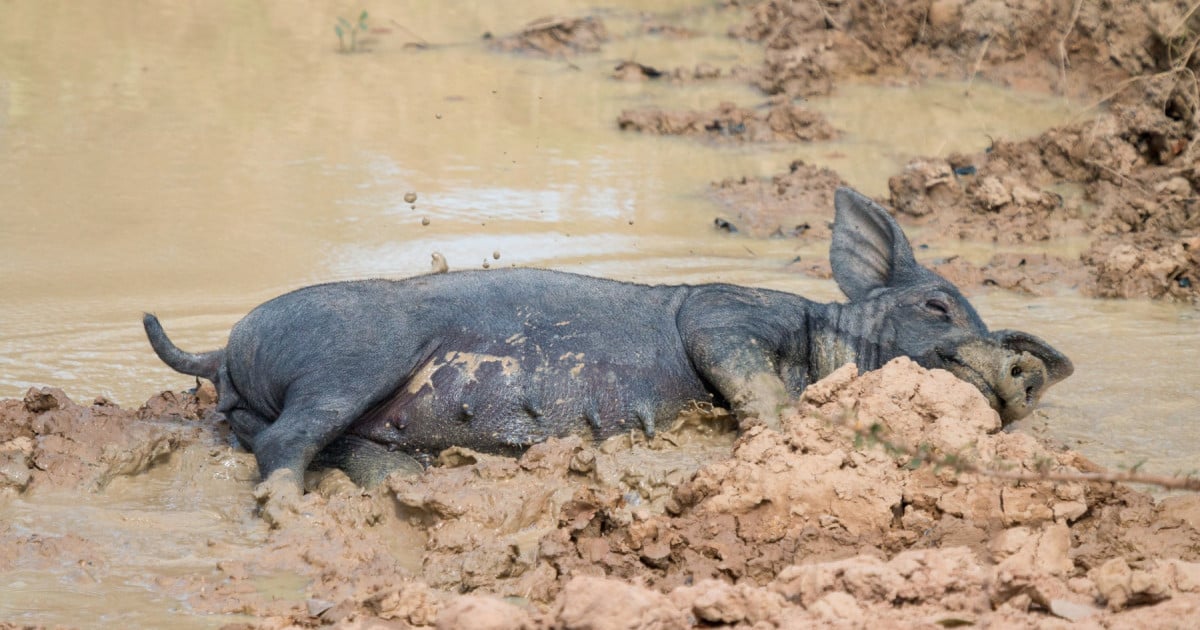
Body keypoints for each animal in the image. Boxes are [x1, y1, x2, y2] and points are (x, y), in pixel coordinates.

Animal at [144, 188, 1072, 490]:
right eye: (941, 307)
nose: (1024, 364)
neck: (819, 332)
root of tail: (225, 349)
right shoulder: (724, 314)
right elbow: (744, 372)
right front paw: (787, 434)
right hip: (351, 357)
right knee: (287, 443)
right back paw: (291, 508)